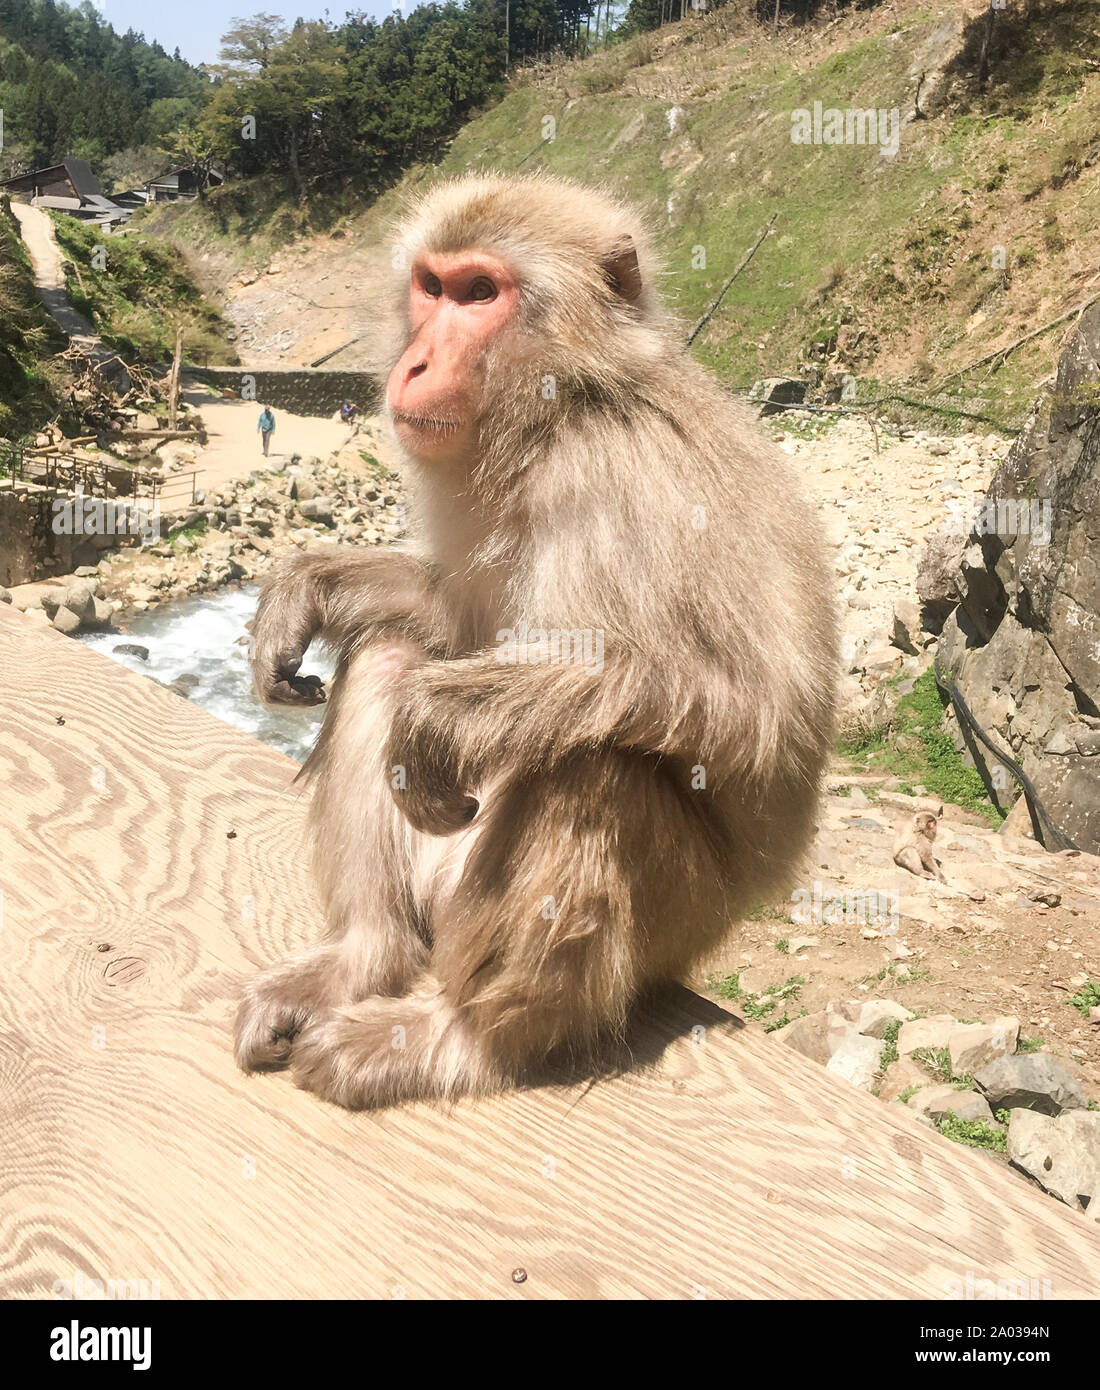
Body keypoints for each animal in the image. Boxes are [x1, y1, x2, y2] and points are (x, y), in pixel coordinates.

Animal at [234, 173, 839, 1109]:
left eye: (482, 293)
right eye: (433, 287)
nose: (414, 362)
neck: (562, 416)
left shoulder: (635, 479)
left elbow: (761, 713)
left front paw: (440, 717)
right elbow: (460, 621)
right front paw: (308, 585)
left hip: (671, 931)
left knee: (592, 765)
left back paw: (464, 1039)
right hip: (445, 880)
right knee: (390, 655)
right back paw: (363, 956)